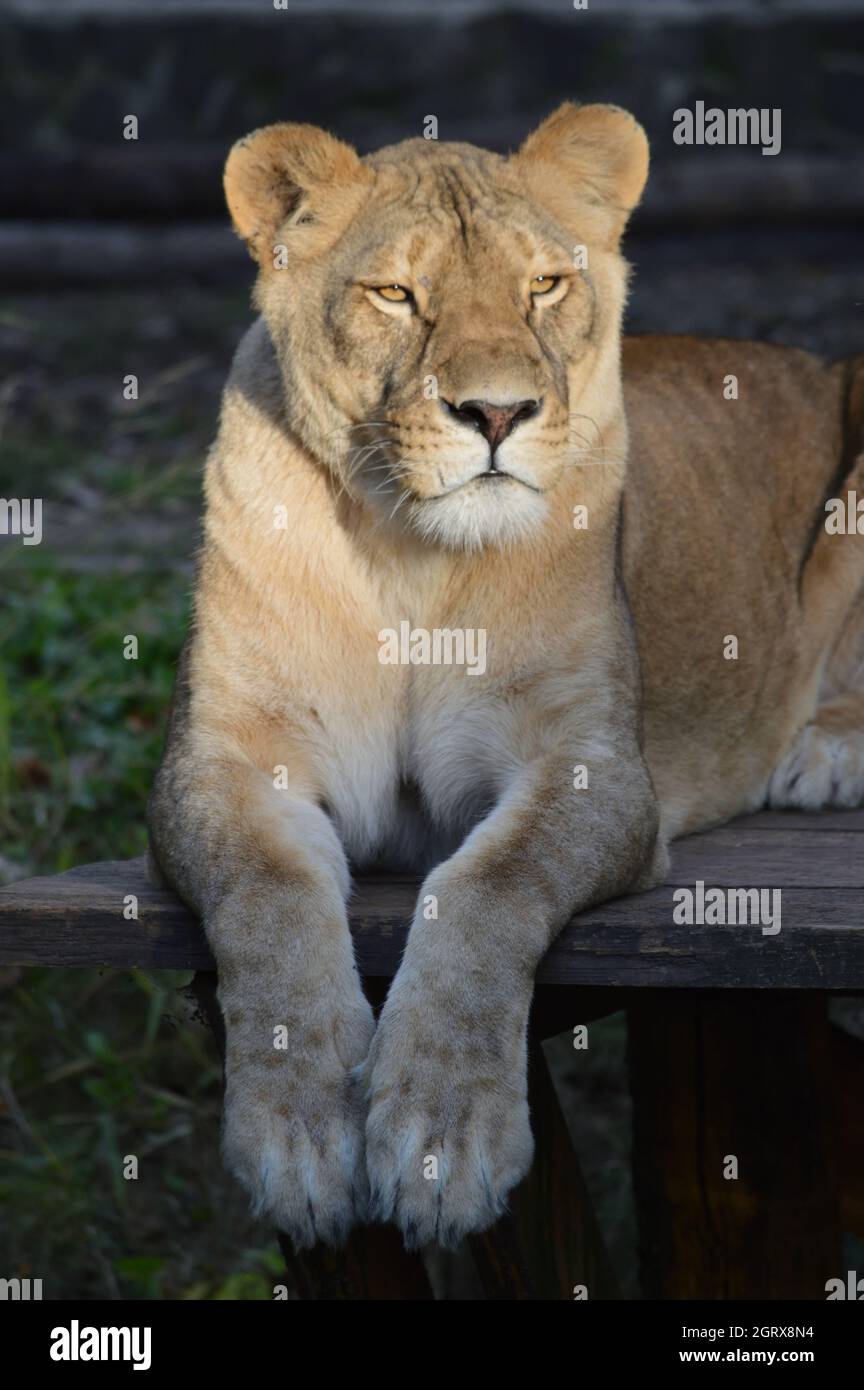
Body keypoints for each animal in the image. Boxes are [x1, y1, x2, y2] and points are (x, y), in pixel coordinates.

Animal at [148, 104, 864, 1251]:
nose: (496, 414)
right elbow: (267, 896)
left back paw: (828, 752)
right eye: (396, 294)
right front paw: (297, 1136)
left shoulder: (592, 766)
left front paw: (443, 1136)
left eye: (544, 286)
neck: (411, 560)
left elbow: (488, 885)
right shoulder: (219, 761)